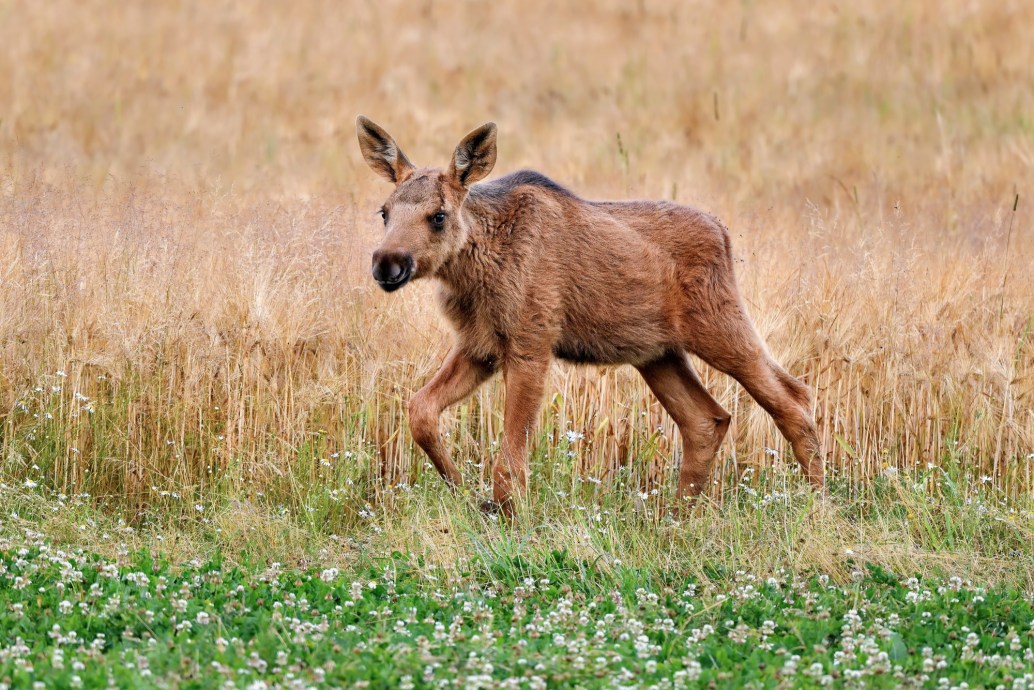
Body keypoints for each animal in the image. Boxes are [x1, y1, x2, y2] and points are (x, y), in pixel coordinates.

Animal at [356, 116, 823, 517]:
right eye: (384, 211)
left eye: (438, 215)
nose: (387, 263)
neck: (473, 272)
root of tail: (723, 233)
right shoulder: (479, 345)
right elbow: (420, 411)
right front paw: (459, 486)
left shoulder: (531, 343)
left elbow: (510, 459)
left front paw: (508, 518)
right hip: (658, 353)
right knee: (707, 420)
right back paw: (676, 515)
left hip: (720, 328)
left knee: (794, 398)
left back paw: (817, 501)